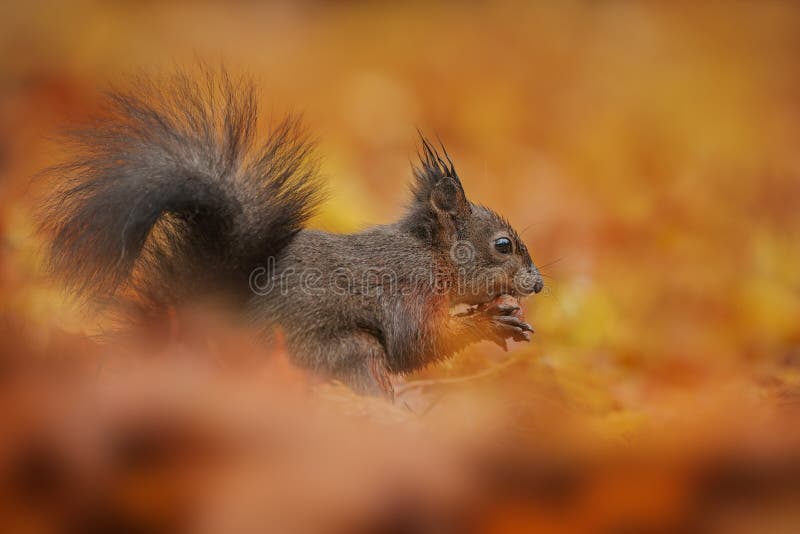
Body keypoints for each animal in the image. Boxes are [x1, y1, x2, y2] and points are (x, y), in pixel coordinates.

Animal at [40, 70, 544, 397]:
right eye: (503, 245)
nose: (538, 284)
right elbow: (417, 342)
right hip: (340, 350)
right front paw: (490, 322)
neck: (429, 254)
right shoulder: (408, 289)